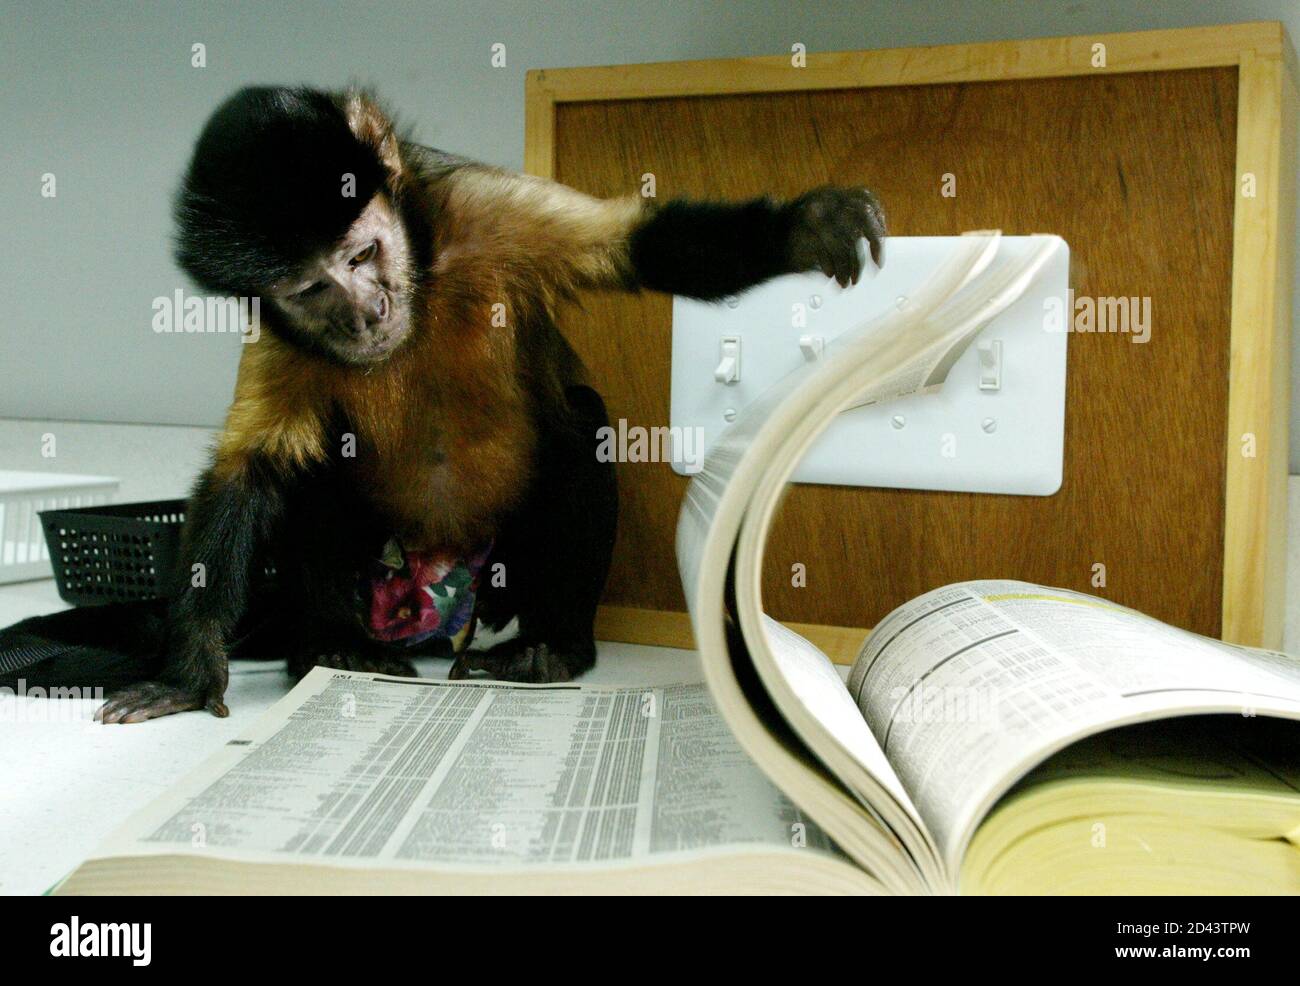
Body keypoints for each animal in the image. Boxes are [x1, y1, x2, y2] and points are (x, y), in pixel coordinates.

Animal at [0, 85, 884, 723]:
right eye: (312, 288)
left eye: (363, 253)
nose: (364, 312)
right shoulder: (276, 325)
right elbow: (250, 469)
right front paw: (189, 669)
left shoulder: (483, 206)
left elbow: (634, 247)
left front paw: (803, 229)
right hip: (384, 573)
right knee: (313, 461)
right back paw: (333, 647)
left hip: (498, 574)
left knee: (582, 421)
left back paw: (550, 648)